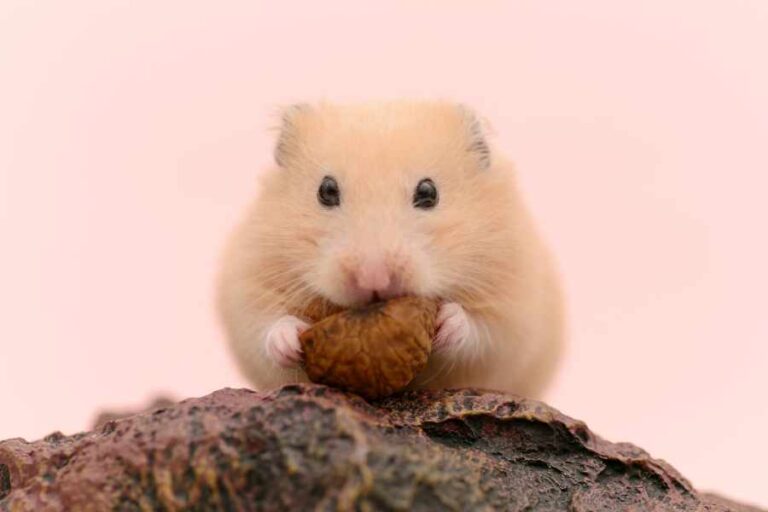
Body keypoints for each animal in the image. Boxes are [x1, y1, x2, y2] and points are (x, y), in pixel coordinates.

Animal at [217, 100, 564, 399]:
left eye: (428, 192)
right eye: (326, 191)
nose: (374, 278)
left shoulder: (512, 302)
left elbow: (481, 330)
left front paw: (449, 321)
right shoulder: (252, 285)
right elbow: (267, 326)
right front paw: (290, 340)